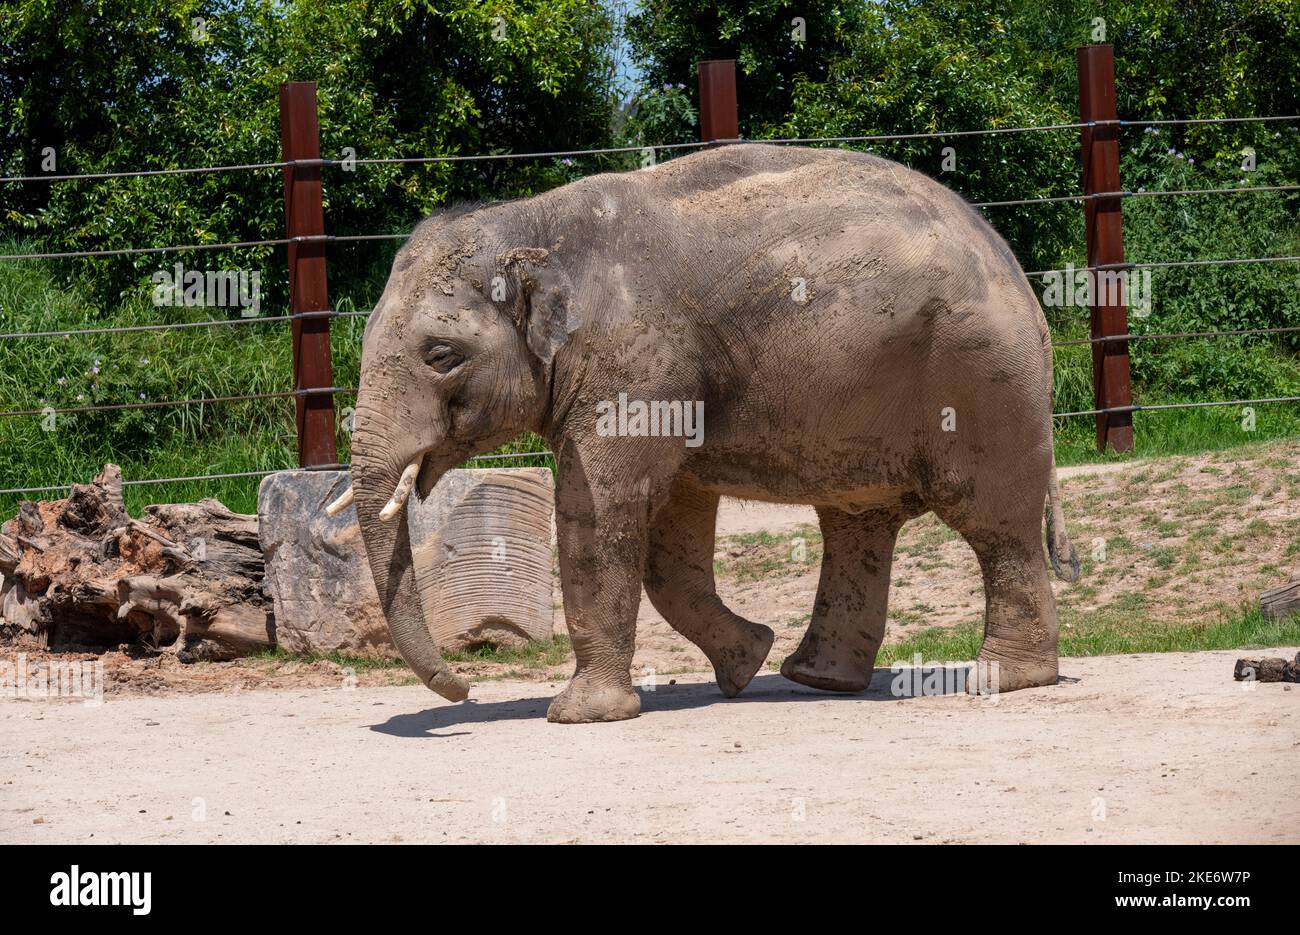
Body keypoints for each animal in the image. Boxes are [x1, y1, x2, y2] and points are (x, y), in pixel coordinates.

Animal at [334, 143, 1080, 724]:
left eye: (440, 355)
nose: (465, 689)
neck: (531, 220)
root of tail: (1021, 280)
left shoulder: (635, 359)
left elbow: (601, 507)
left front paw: (579, 715)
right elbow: (671, 528)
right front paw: (745, 662)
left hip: (978, 376)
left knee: (994, 523)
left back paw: (999, 680)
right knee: (858, 523)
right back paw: (814, 677)